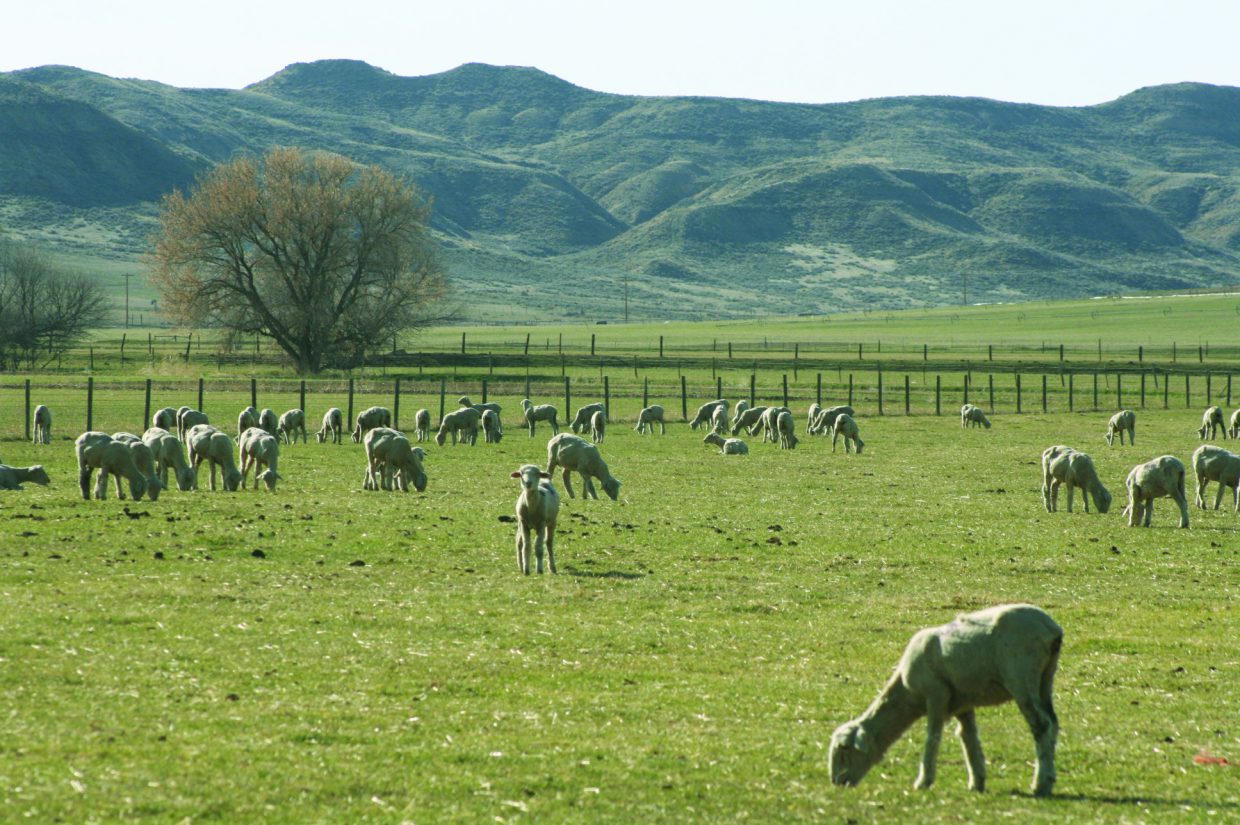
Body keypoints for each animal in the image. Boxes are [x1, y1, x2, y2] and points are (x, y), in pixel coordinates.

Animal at [829, 604, 1062, 797]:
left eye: (843, 752)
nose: (838, 783)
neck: (906, 694)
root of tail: (1051, 629)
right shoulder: (963, 704)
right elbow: (968, 738)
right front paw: (977, 782)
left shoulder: (936, 695)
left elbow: (933, 737)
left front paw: (923, 781)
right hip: (1045, 680)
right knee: (1053, 722)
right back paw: (1049, 779)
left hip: (1021, 678)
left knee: (1041, 725)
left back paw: (1040, 784)